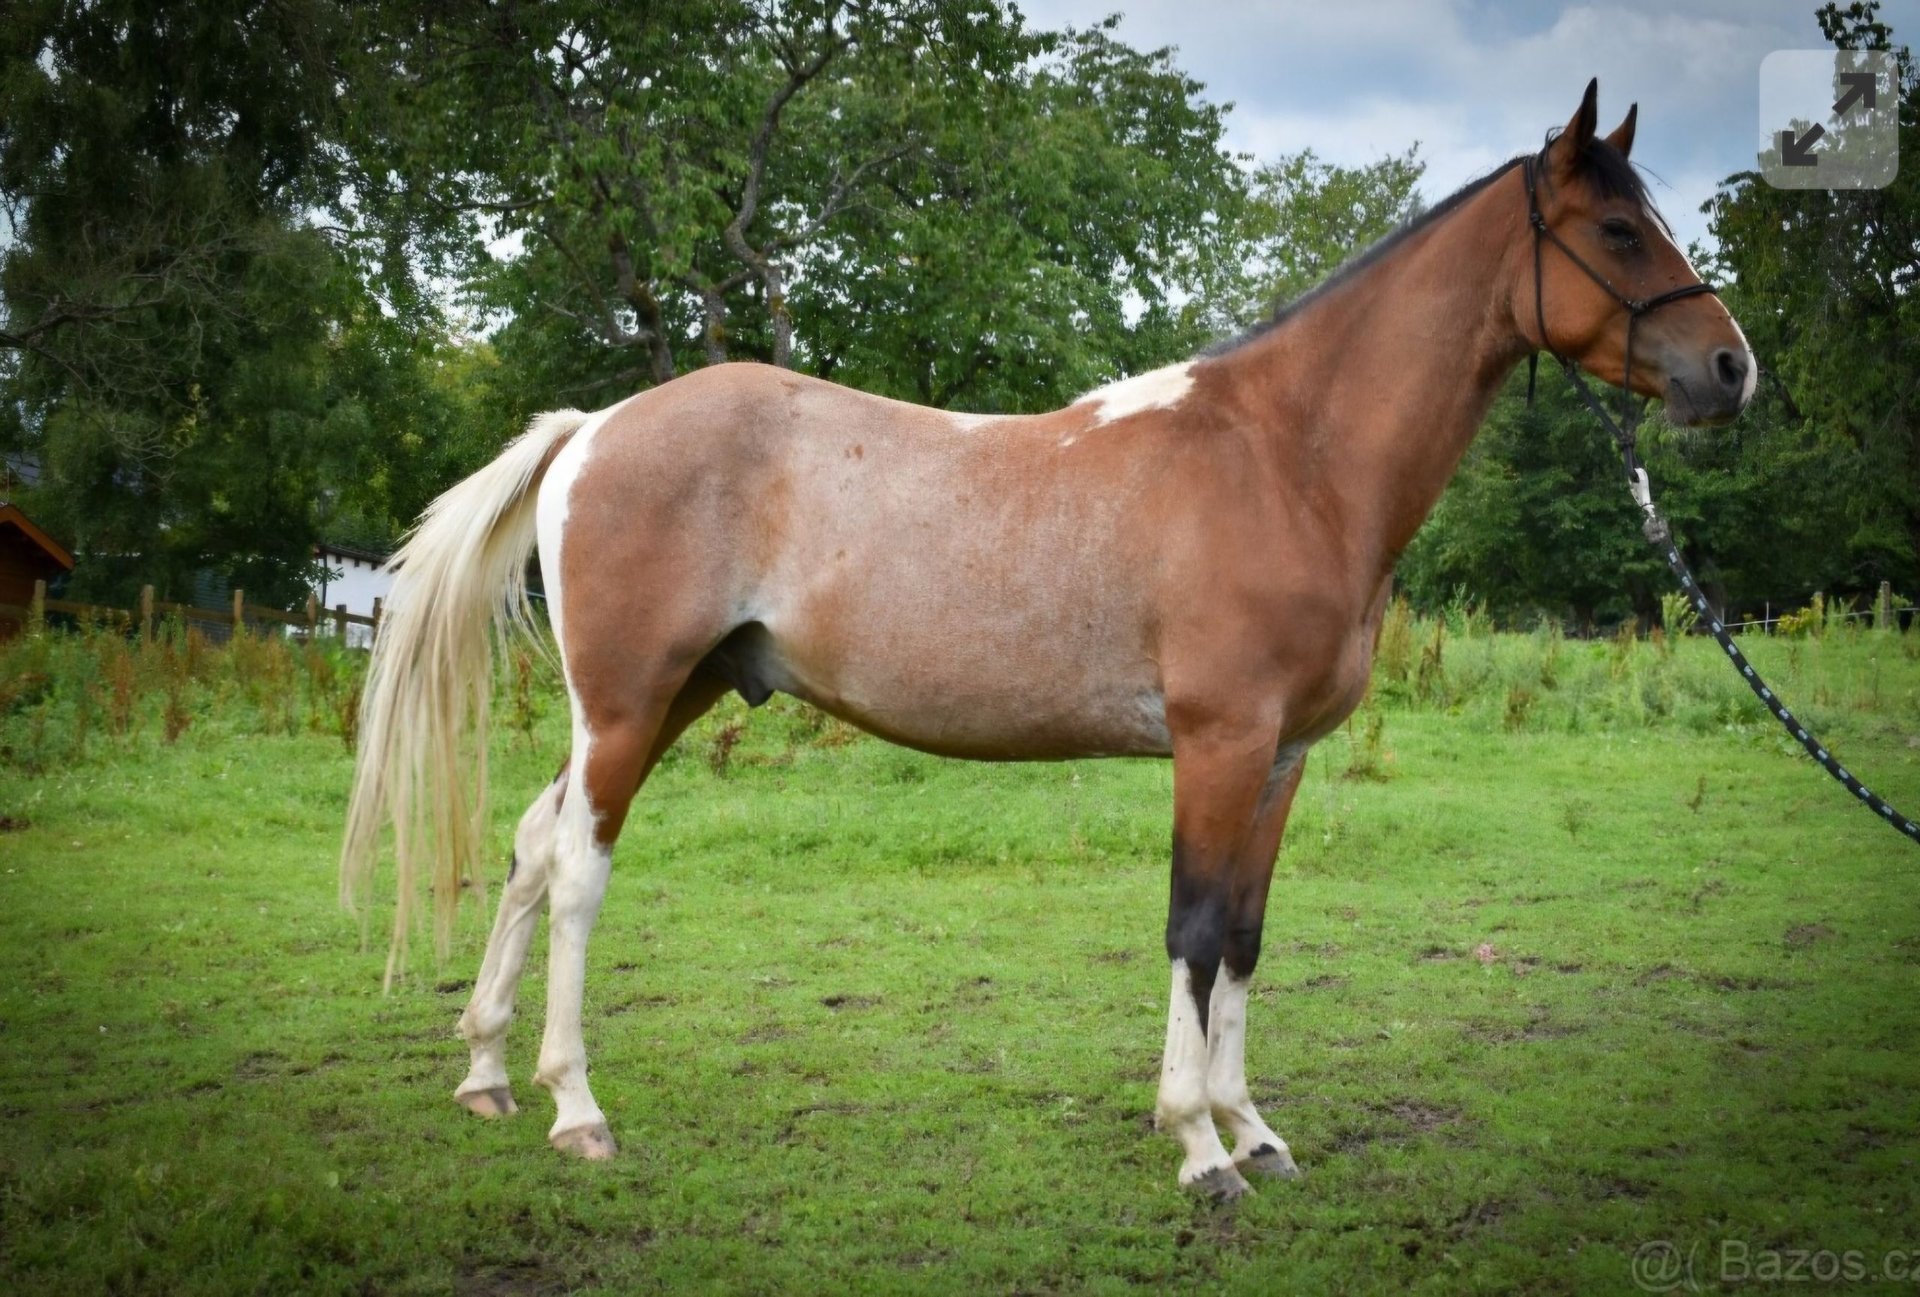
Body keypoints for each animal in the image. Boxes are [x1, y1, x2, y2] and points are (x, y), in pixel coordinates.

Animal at [341, 81, 1754, 1199]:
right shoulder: (1218, 744)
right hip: (630, 705)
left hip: (667, 697)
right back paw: (575, 1107)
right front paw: (1198, 1146)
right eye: (1617, 229)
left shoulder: (1281, 760)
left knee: (532, 849)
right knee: (578, 871)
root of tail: (594, 427)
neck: (1287, 457)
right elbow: (1193, 929)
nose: (1731, 368)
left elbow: (1246, 937)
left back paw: (487, 1073)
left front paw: (1254, 1129)